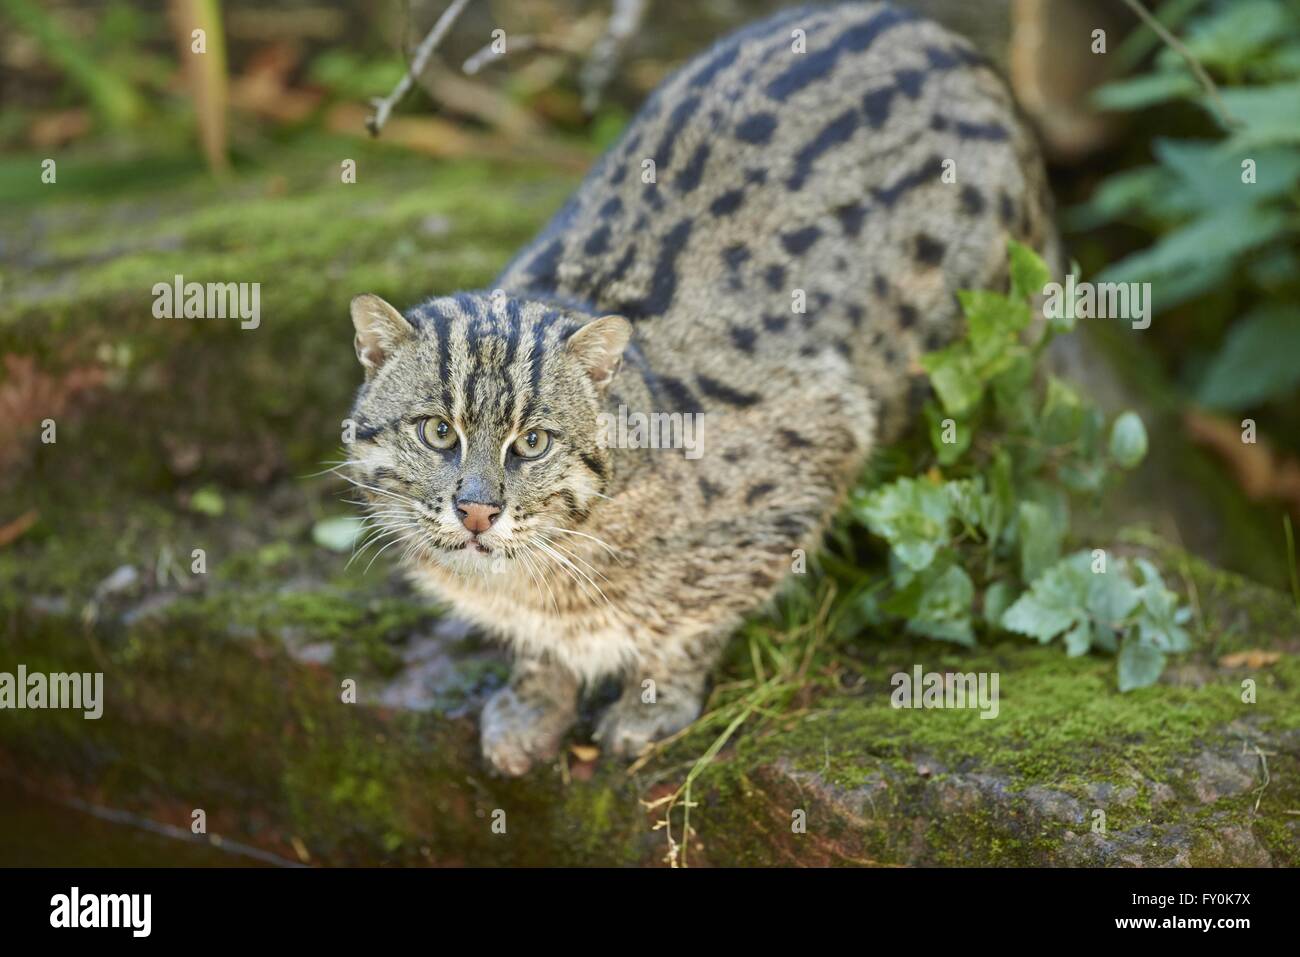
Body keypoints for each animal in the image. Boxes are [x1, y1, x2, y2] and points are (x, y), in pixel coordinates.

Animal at [345, 0, 1055, 774]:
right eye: (438, 431)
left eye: (532, 442)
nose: (477, 511)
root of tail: (937, 33)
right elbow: (544, 650)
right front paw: (533, 701)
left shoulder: (818, 439)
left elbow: (692, 615)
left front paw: (650, 703)